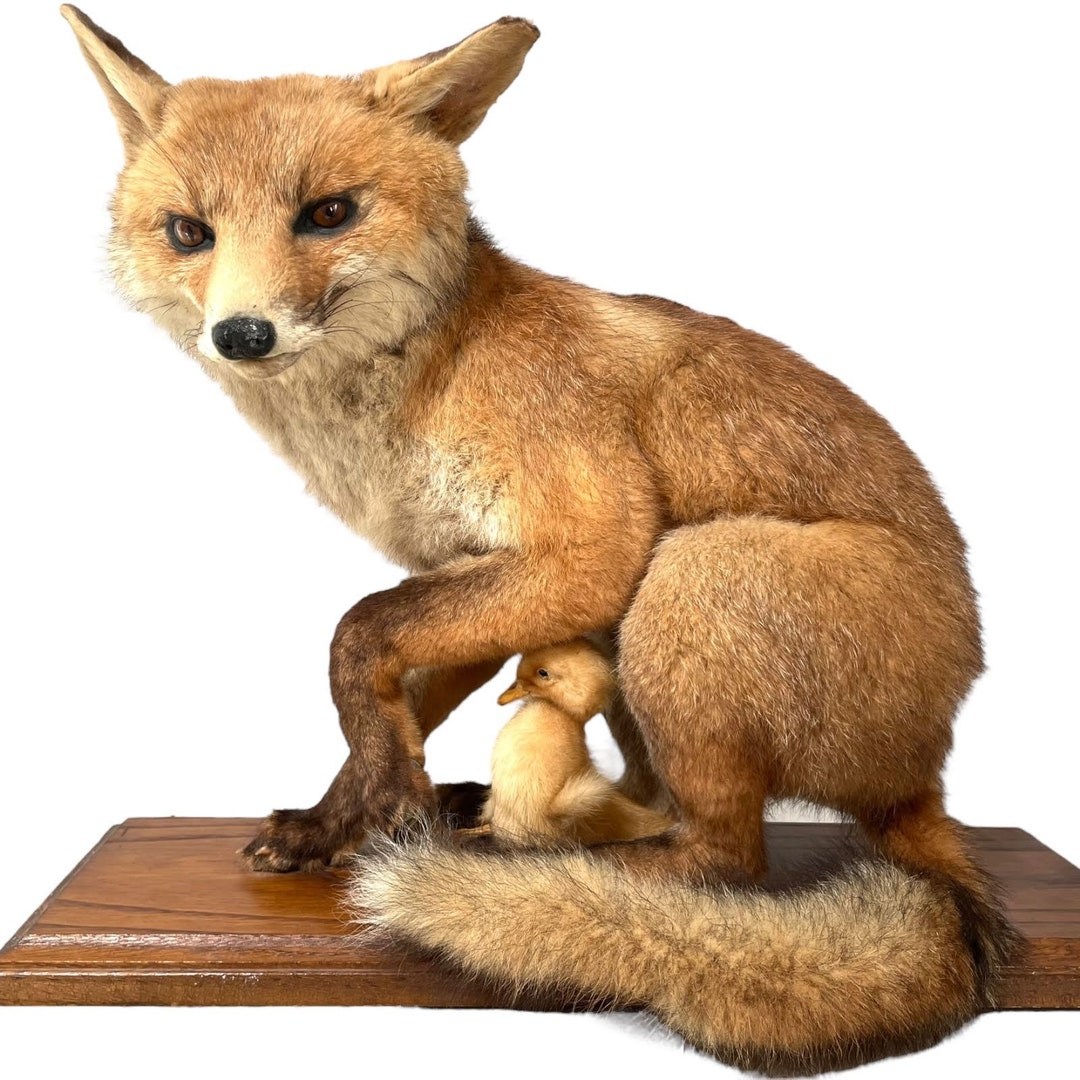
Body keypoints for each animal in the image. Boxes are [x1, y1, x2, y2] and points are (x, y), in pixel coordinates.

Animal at [62, 5, 1019, 1074]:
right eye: (190, 233)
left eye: (328, 213)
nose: (242, 334)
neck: (410, 396)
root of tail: (929, 775)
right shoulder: (464, 569)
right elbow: (379, 692)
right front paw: (345, 820)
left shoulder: (583, 550)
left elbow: (354, 630)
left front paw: (396, 808)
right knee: (657, 802)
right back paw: (503, 821)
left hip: (692, 575)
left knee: (728, 860)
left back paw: (567, 878)